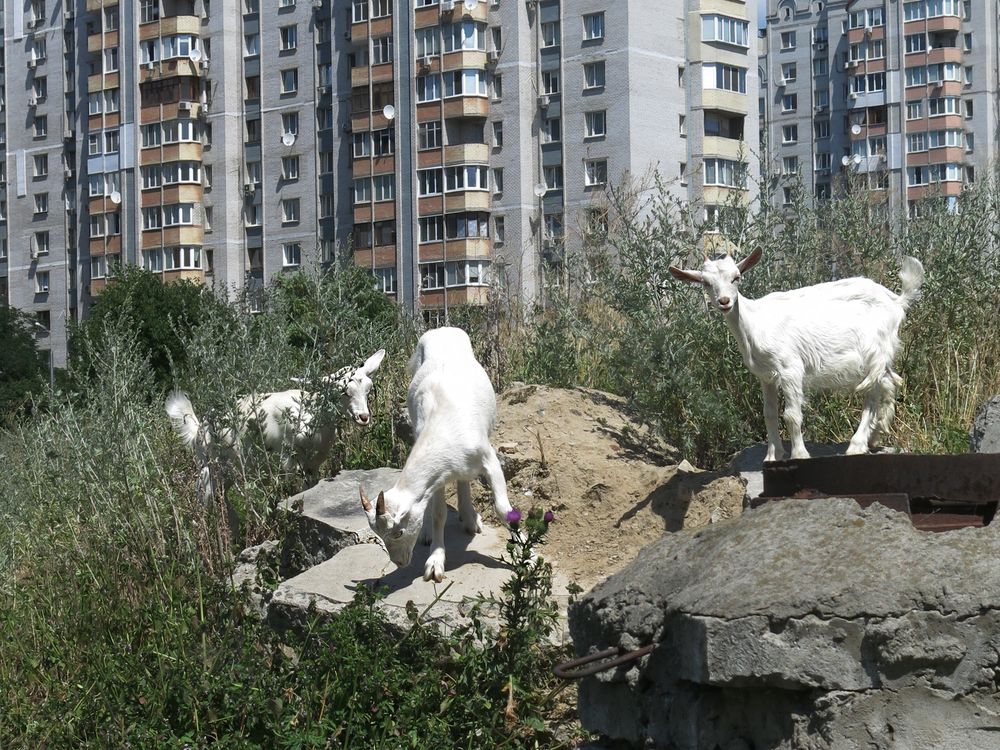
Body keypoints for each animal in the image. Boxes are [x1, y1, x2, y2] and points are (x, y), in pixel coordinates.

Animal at [166, 349, 385, 502]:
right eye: (343, 391)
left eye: (368, 389)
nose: (363, 417)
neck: (311, 414)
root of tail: (198, 428)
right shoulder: (289, 462)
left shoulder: (312, 466)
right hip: (207, 465)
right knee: (204, 498)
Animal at [359, 327, 515, 583]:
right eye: (379, 534)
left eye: (398, 532)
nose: (399, 562)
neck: (444, 428)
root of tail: (442, 329)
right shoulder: (438, 476)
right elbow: (438, 514)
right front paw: (435, 562)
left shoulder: (489, 459)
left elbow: (504, 509)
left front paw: (529, 557)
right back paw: (433, 532)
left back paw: (471, 519)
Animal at [669, 248, 923, 461]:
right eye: (705, 283)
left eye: (736, 277)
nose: (724, 302)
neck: (755, 323)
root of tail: (898, 301)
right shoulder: (766, 376)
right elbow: (769, 414)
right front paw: (773, 456)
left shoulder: (790, 369)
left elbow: (791, 415)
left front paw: (799, 454)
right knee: (890, 383)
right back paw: (875, 436)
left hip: (875, 353)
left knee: (872, 392)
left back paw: (857, 444)